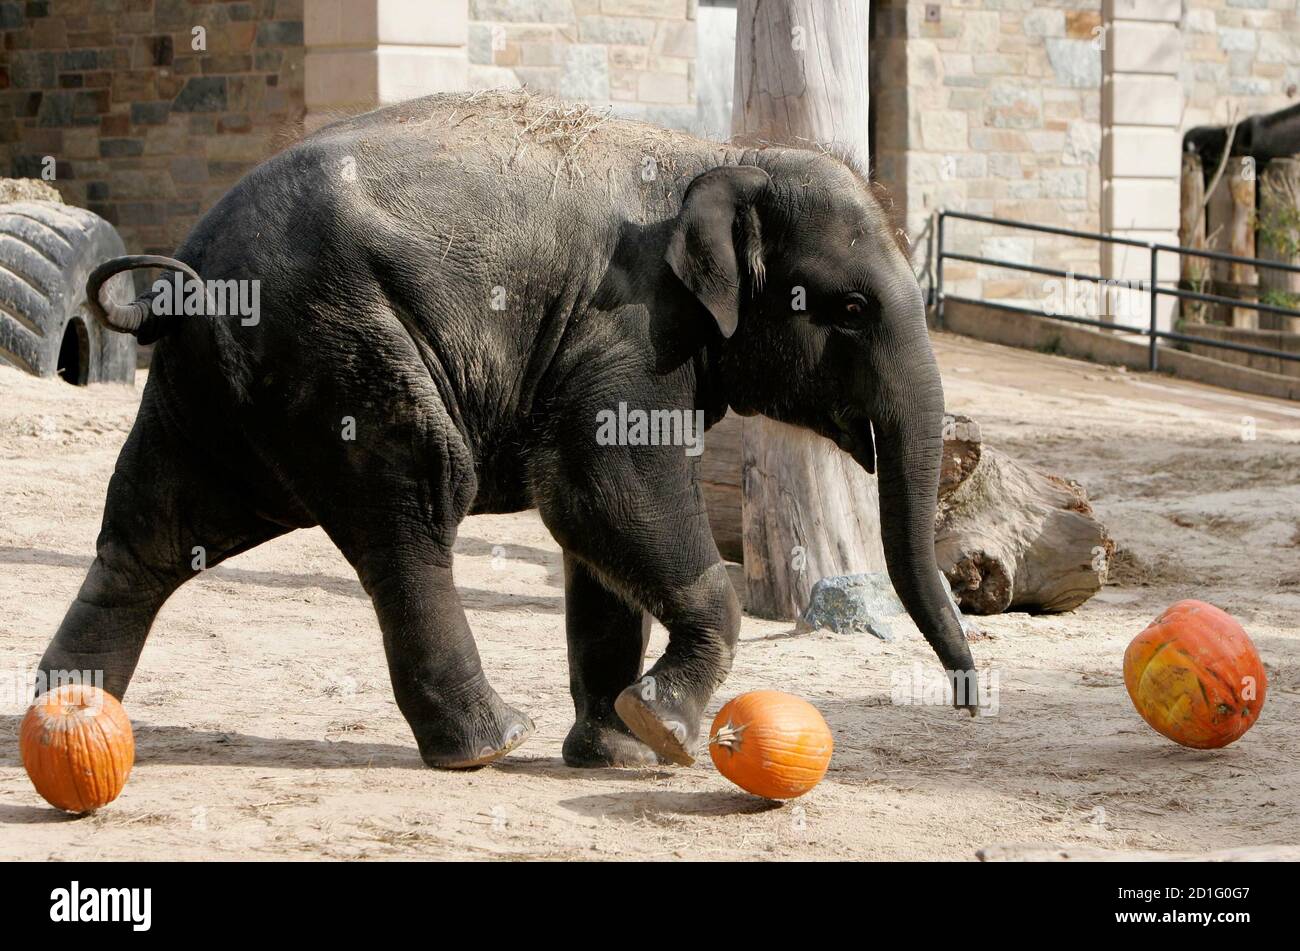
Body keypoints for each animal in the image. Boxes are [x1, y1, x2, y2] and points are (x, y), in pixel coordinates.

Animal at [37, 91, 977, 771]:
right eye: (850, 309)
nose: (969, 699)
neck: (720, 155)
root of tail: (186, 280)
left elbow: (595, 545)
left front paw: (615, 751)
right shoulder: (628, 328)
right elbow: (601, 485)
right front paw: (665, 731)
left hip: (209, 390)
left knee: (149, 538)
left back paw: (63, 717)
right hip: (343, 346)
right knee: (415, 511)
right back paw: (488, 745)